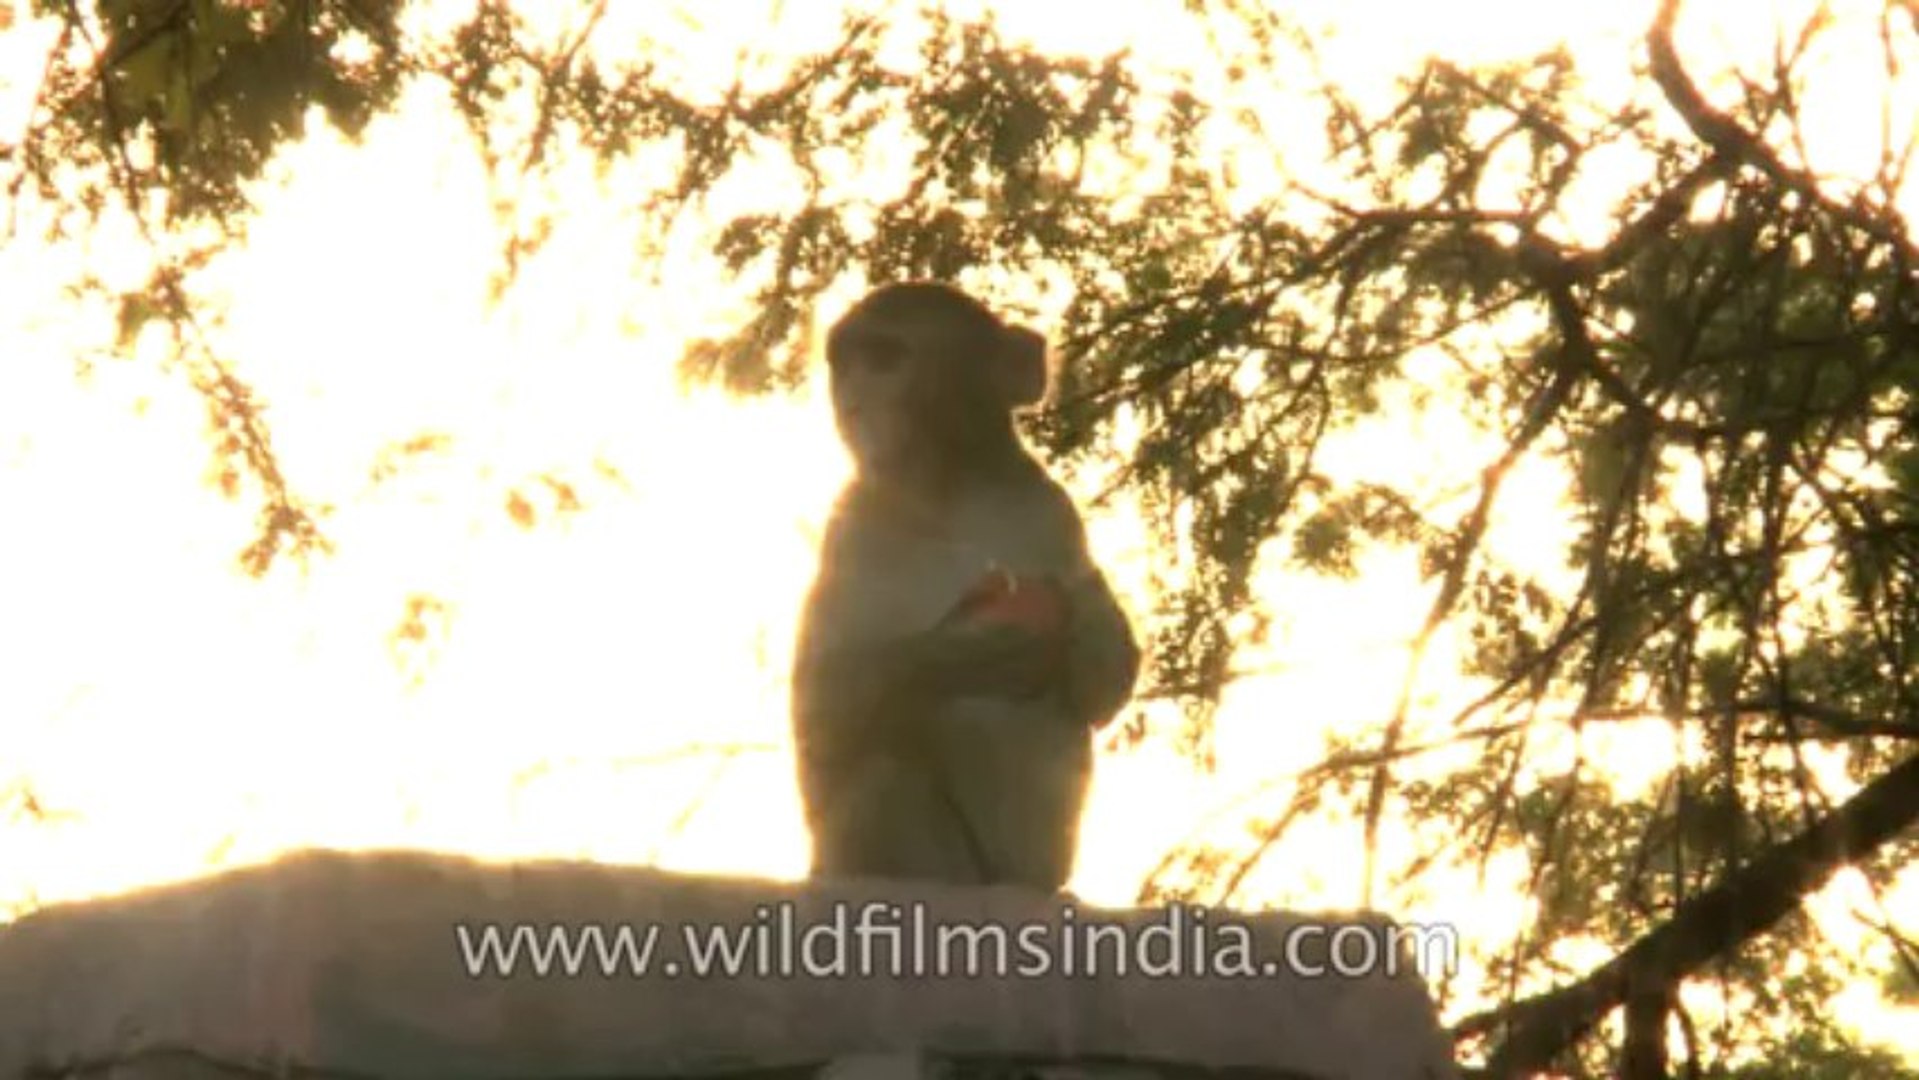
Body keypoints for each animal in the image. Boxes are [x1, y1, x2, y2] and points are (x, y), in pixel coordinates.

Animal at [790, 281, 1141, 893]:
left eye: (885, 358)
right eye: (846, 363)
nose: (852, 400)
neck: (950, 486)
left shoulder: (1047, 504)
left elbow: (1101, 689)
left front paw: (1088, 627)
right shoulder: (853, 525)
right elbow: (821, 709)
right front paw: (961, 648)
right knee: (883, 767)